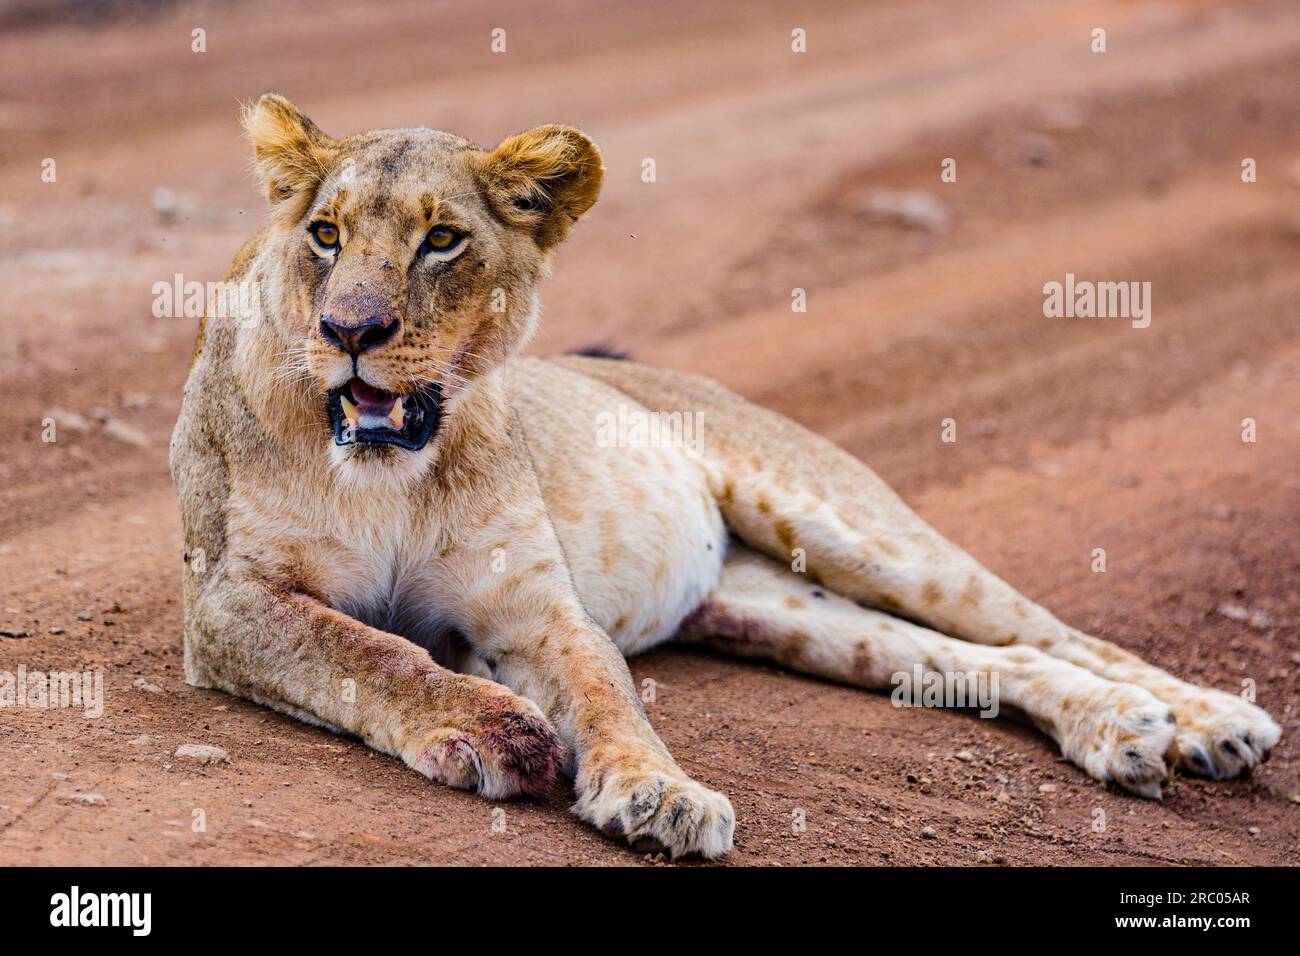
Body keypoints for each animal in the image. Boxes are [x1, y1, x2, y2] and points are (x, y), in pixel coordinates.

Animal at [170, 94, 1281, 859]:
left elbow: (607, 692)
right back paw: (1122, 730)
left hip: (851, 528)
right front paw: (492, 730)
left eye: (442, 239)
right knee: (981, 659)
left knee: (1046, 629)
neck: (396, 467)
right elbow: (365, 649)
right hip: (784, 610)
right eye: (325, 235)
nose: (349, 331)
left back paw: (1209, 723)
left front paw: (660, 794)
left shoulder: (536, 607)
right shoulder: (230, 601)